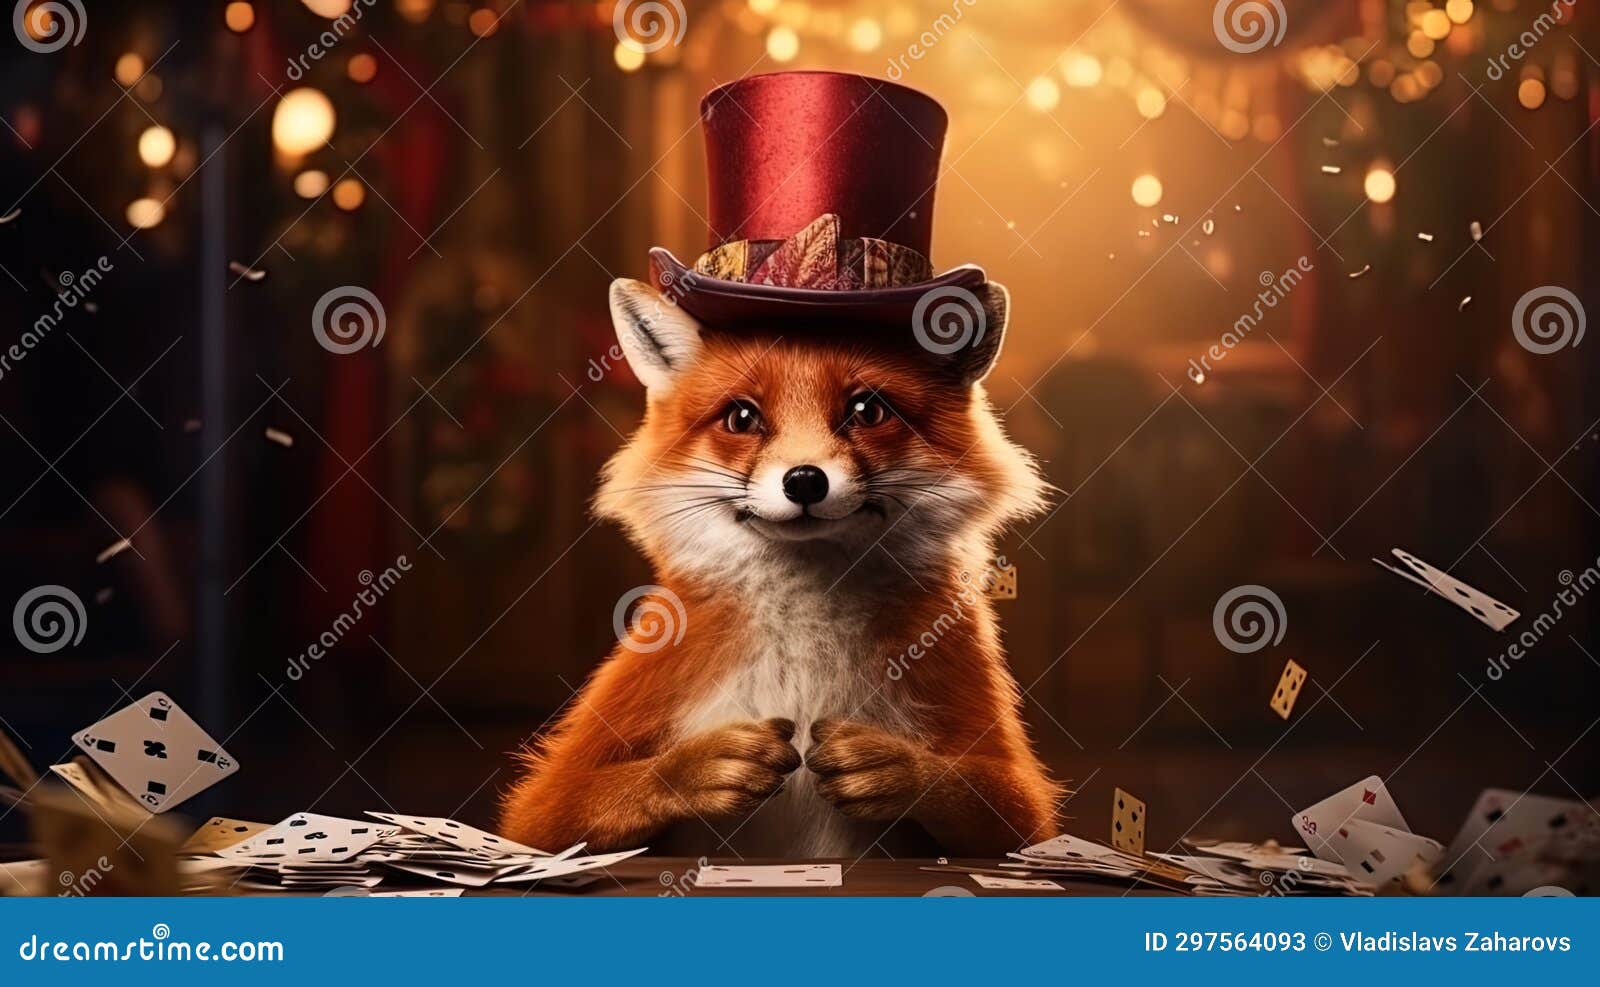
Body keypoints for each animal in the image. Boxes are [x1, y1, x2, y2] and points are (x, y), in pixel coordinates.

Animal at [498, 277, 1062, 858]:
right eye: (742, 418)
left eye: (867, 411)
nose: (805, 479)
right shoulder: (547, 802)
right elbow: (564, 808)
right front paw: (695, 769)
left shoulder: (1019, 803)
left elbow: (978, 791)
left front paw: (901, 769)